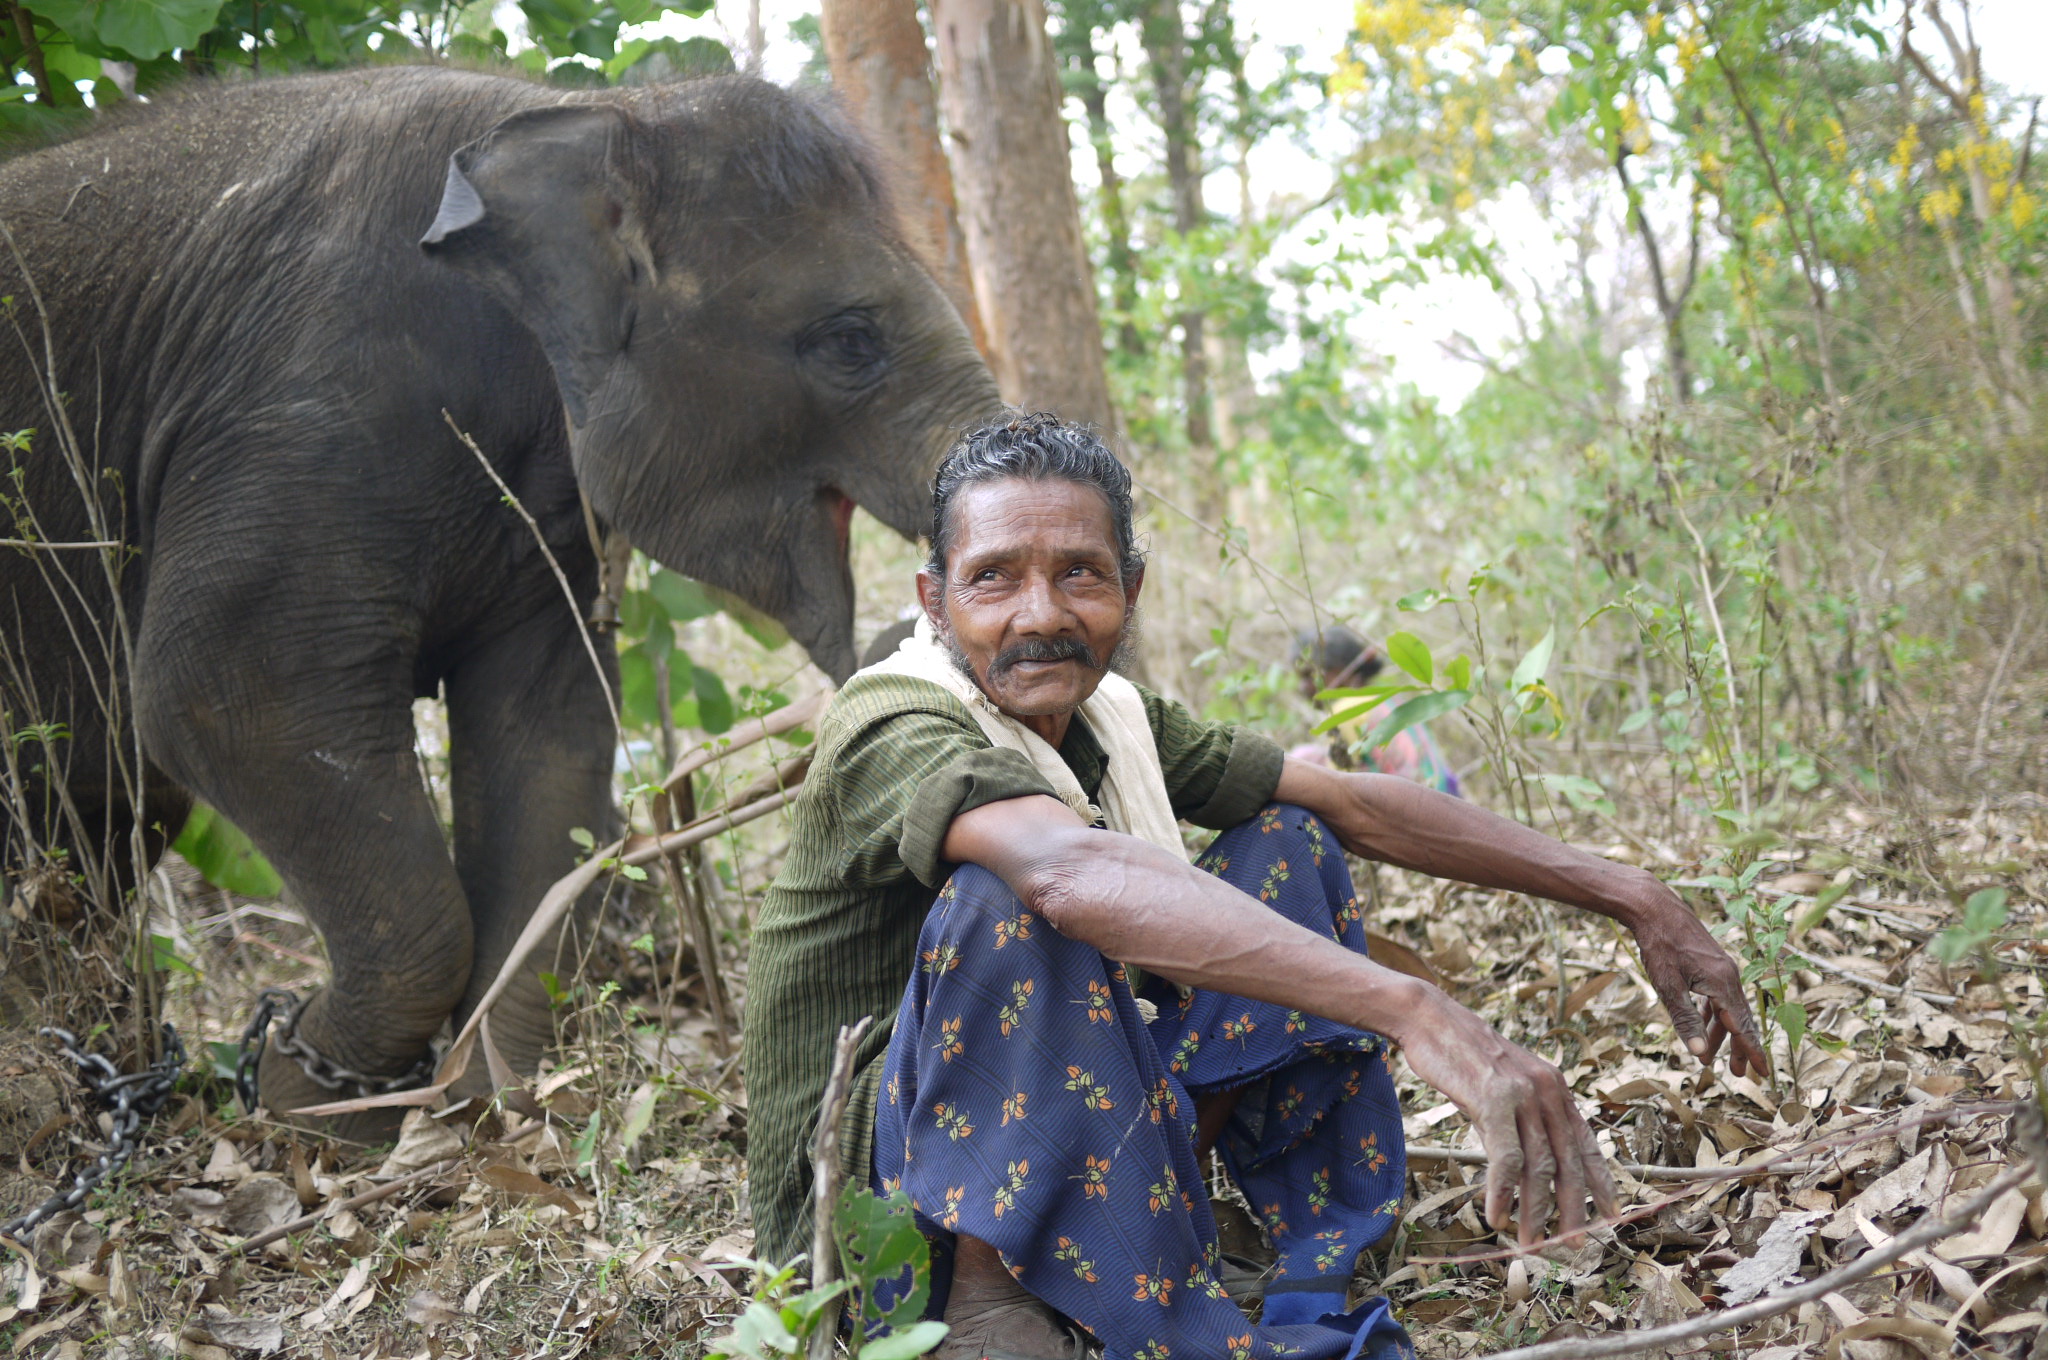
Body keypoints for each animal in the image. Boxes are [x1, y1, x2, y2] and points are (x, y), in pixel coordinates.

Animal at [0, 65, 999, 1136]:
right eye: (850, 341)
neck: (593, 113)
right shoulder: (307, 406)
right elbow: (219, 696)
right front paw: (300, 1094)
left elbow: (545, 748)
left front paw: (483, 1106)